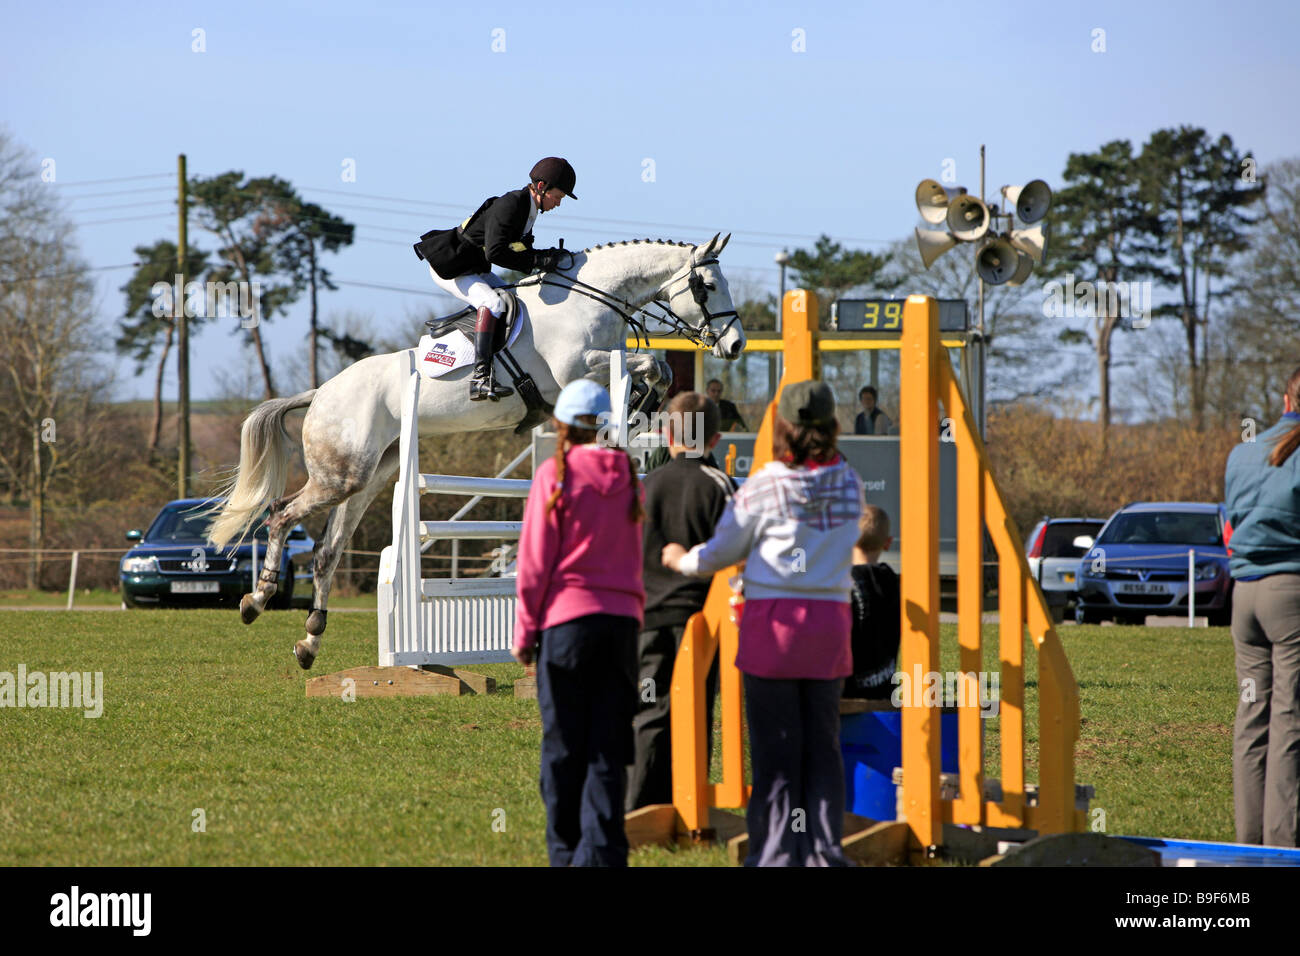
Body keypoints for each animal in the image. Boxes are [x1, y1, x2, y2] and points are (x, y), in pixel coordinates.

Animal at [206, 233, 745, 669]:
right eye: (706, 287)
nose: (736, 345)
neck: (590, 300)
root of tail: (320, 391)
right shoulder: (578, 369)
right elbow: (649, 362)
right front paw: (633, 410)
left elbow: (659, 368)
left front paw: (638, 409)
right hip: (339, 475)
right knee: (280, 514)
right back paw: (257, 600)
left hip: (370, 475)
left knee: (327, 551)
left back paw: (310, 640)